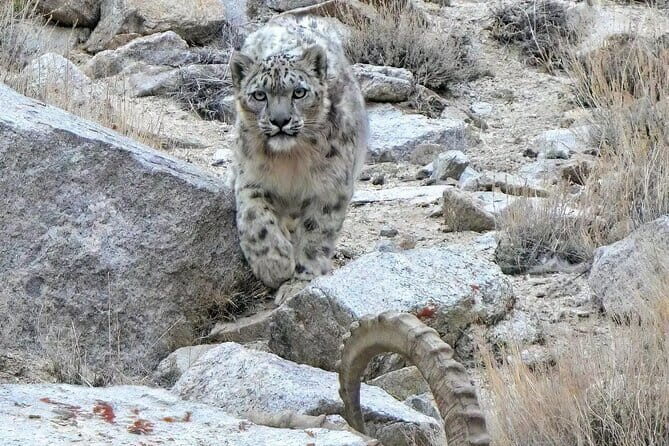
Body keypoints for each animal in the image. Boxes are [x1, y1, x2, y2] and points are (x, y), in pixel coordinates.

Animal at [229, 16, 368, 297]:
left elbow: (316, 233)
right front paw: (274, 264)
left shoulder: (331, 186)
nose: (280, 120)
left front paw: (301, 280)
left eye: (299, 92)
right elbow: (254, 219)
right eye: (259, 95)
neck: (290, 161)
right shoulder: (250, 177)